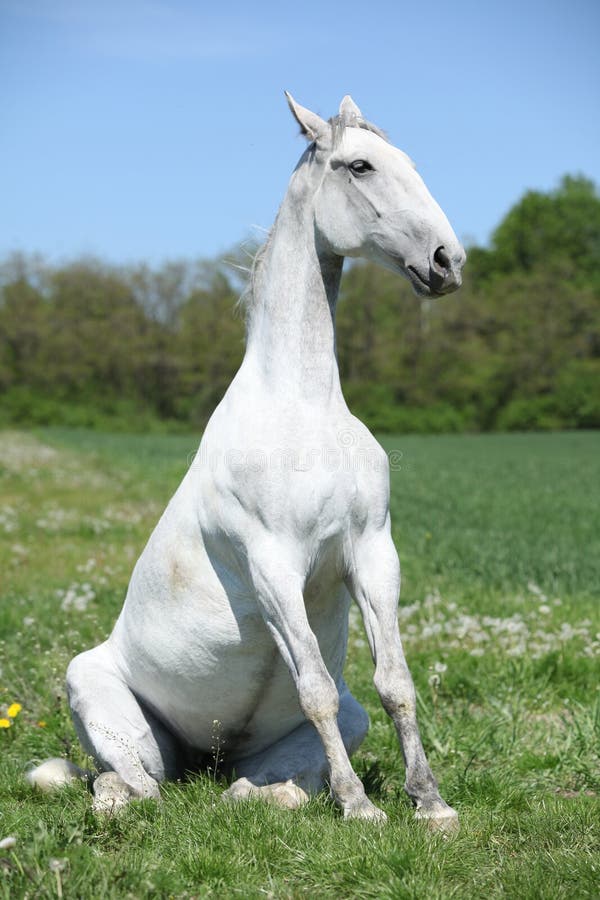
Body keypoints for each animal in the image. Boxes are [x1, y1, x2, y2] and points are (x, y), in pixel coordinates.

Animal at [29, 93, 466, 828]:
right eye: (359, 166)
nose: (447, 261)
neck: (303, 410)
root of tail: (208, 756)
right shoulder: (272, 565)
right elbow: (314, 685)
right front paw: (361, 808)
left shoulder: (373, 551)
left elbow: (396, 683)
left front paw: (430, 805)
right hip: (107, 709)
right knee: (125, 785)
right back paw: (117, 797)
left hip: (291, 742)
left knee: (250, 784)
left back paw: (272, 794)